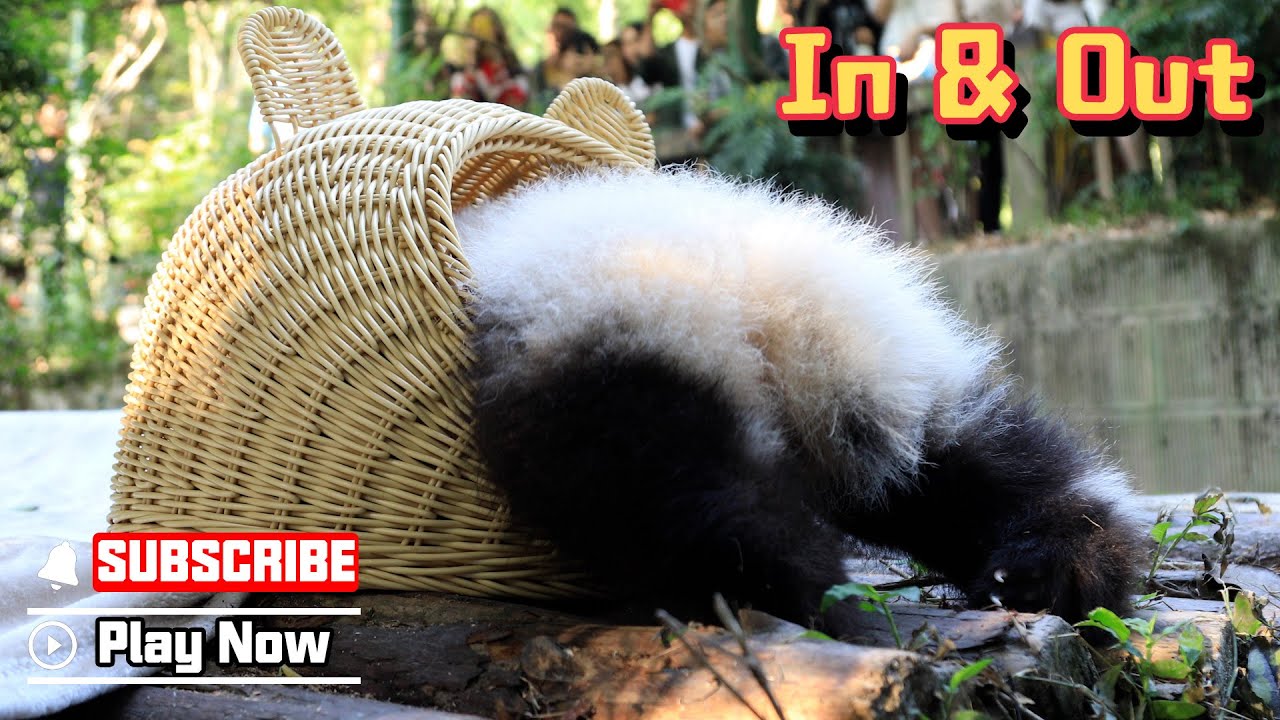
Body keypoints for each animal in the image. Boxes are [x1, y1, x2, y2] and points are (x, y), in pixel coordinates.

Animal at [456, 164, 1144, 637]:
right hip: (872, 374)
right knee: (961, 466)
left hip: (597, 339)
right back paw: (1056, 569)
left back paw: (790, 591)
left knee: (673, 480)